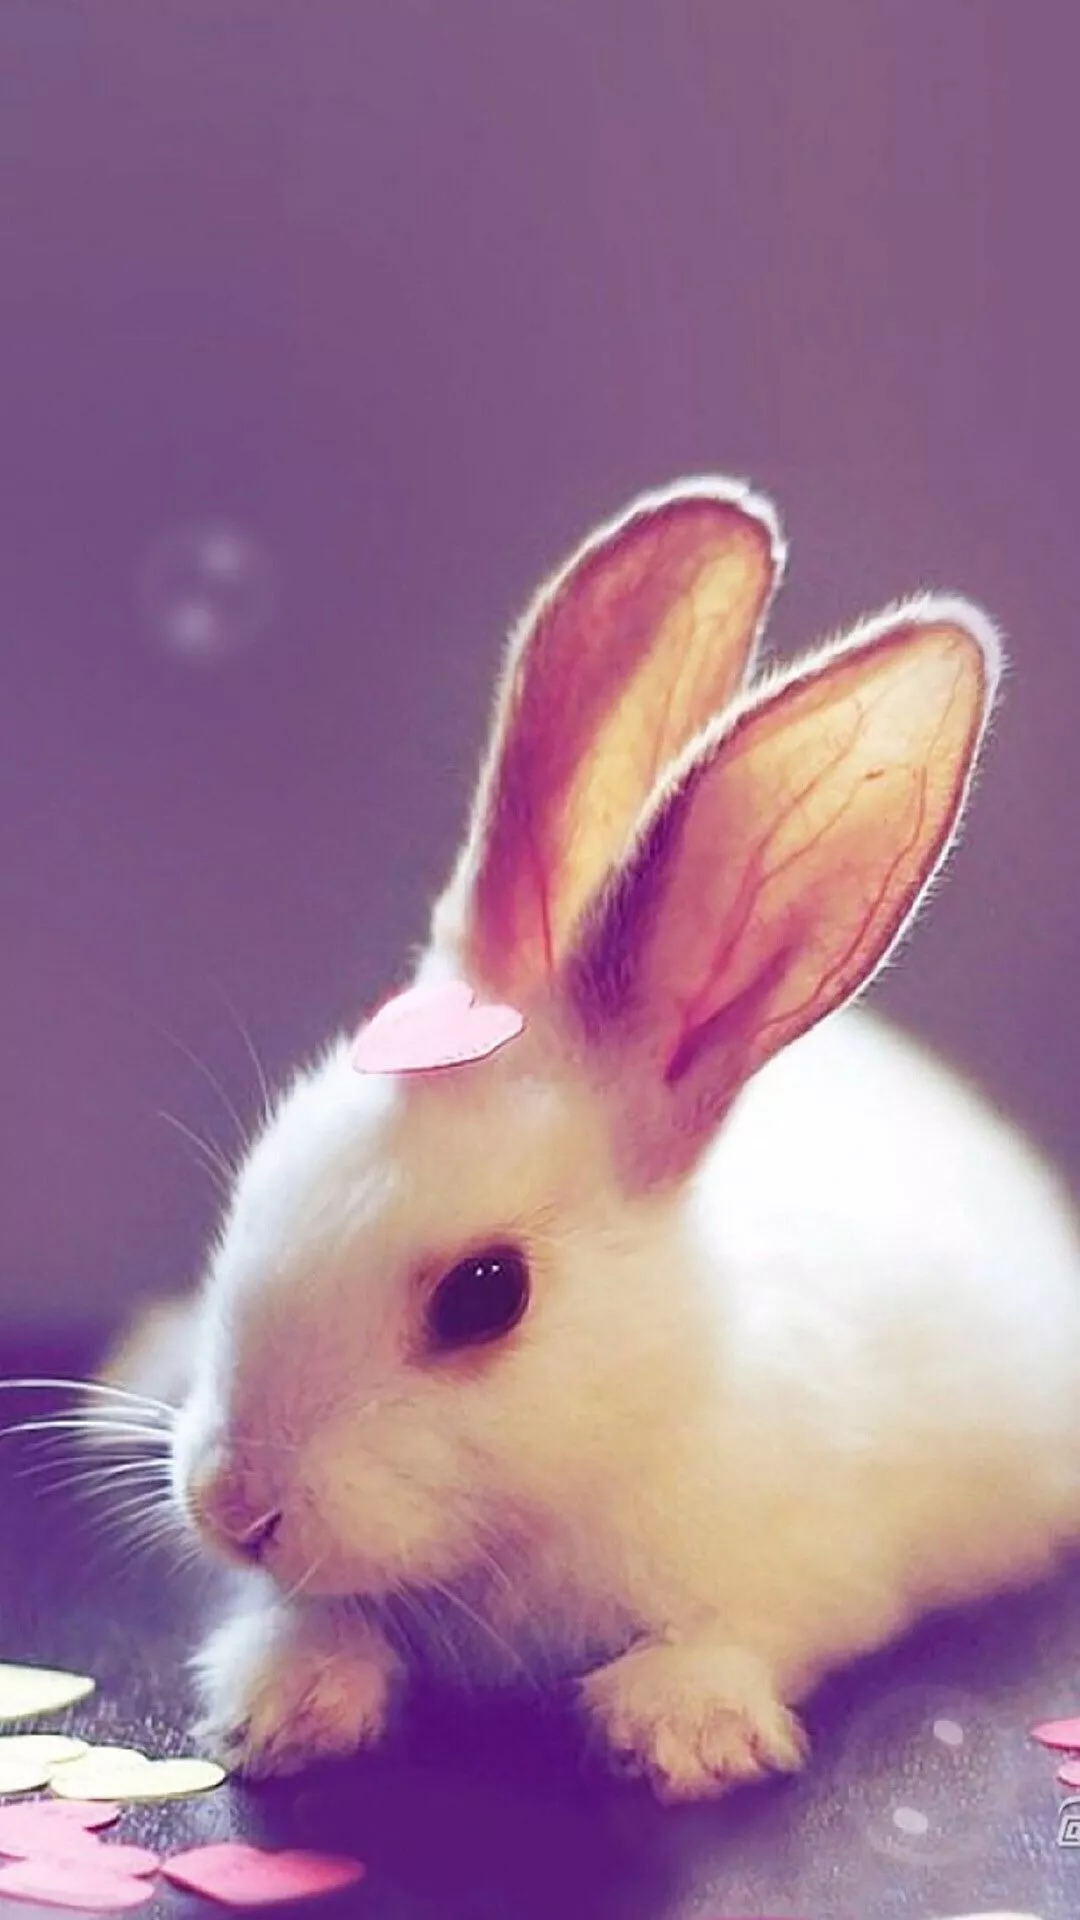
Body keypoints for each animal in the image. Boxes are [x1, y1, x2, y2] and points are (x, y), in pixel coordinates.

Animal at [127, 477, 1080, 1802]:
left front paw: (681, 1732)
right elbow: (316, 1618)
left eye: (484, 1296)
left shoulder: (807, 1572)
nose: (231, 1507)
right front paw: (287, 1708)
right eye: (252, 1195)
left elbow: (740, 1632)